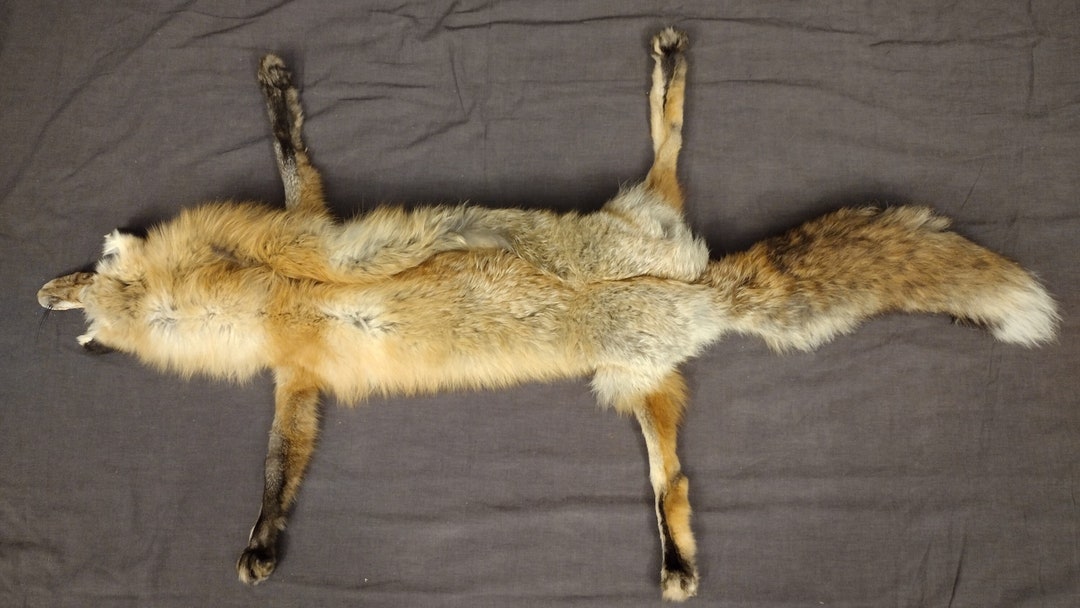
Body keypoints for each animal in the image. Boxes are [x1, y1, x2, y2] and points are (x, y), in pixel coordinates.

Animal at [37, 28, 1057, 602]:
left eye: (83, 278)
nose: (42, 294)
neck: (275, 295)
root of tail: (704, 291)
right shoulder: (301, 374)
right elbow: (283, 459)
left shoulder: (308, 247)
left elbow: (296, 163)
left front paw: (261, 544)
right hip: (641, 385)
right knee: (673, 480)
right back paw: (679, 563)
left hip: (633, 268)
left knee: (667, 155)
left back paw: (669, 69)